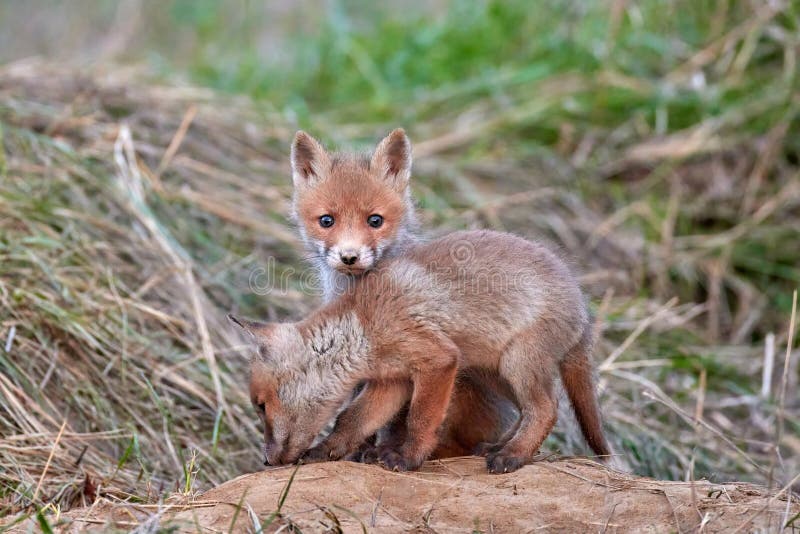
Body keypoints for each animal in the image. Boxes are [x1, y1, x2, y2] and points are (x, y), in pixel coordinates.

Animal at [231, 230, 611, 473]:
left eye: (261, 406)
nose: (266, 461)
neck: (364, 324)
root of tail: (582, 305)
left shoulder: (438, 361)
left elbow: (420, 418)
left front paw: (408, 458)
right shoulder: (392, 381)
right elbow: (351, 419)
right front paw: (326, 452)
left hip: (517, 363)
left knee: (546, 408)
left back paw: (513, 455)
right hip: (493, 371)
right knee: (527, 411)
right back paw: (497, 447)